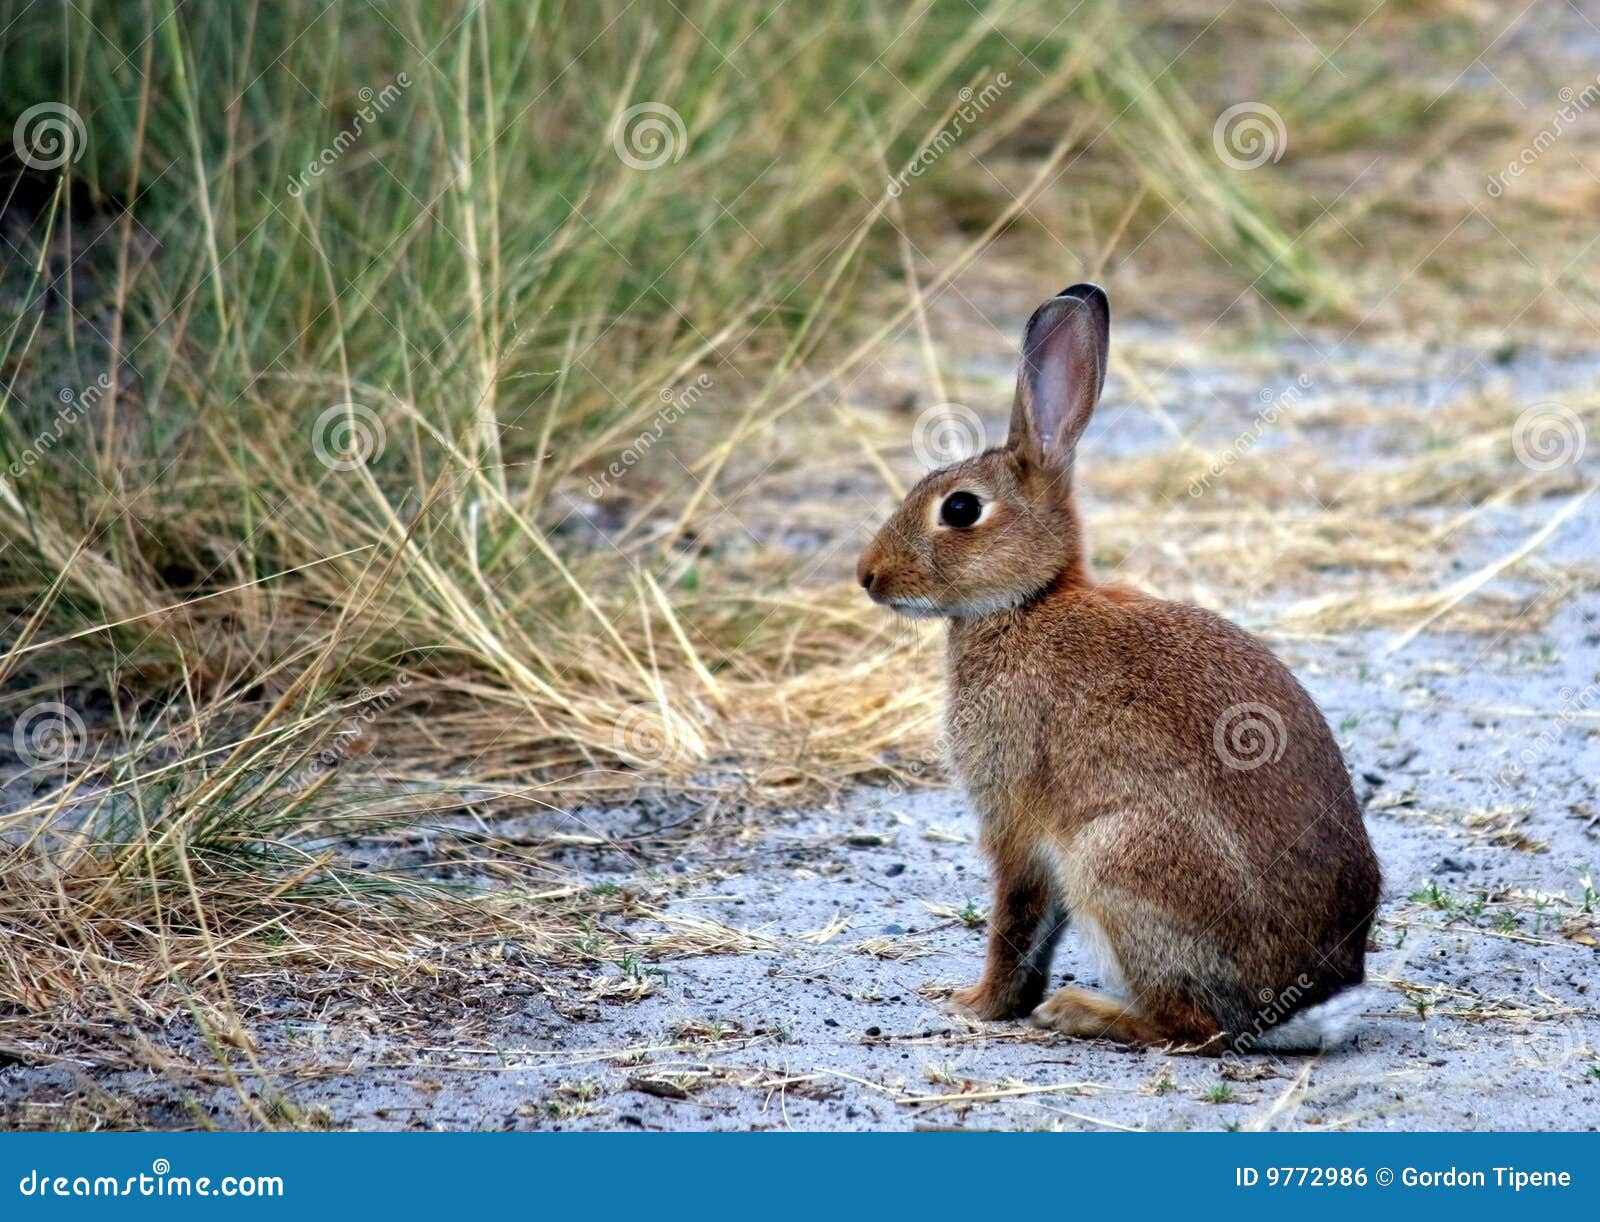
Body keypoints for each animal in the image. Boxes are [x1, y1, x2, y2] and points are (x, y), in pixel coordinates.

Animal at [855, 284, 1381, 1052]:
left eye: (959, 508)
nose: (867, 576)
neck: (1029, 601)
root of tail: (1299, 1007)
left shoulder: (1017, 824)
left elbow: (1015, 921)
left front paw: (976, 1005)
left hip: (1115, 864)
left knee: (1191, 1026)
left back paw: (1079, 1011)